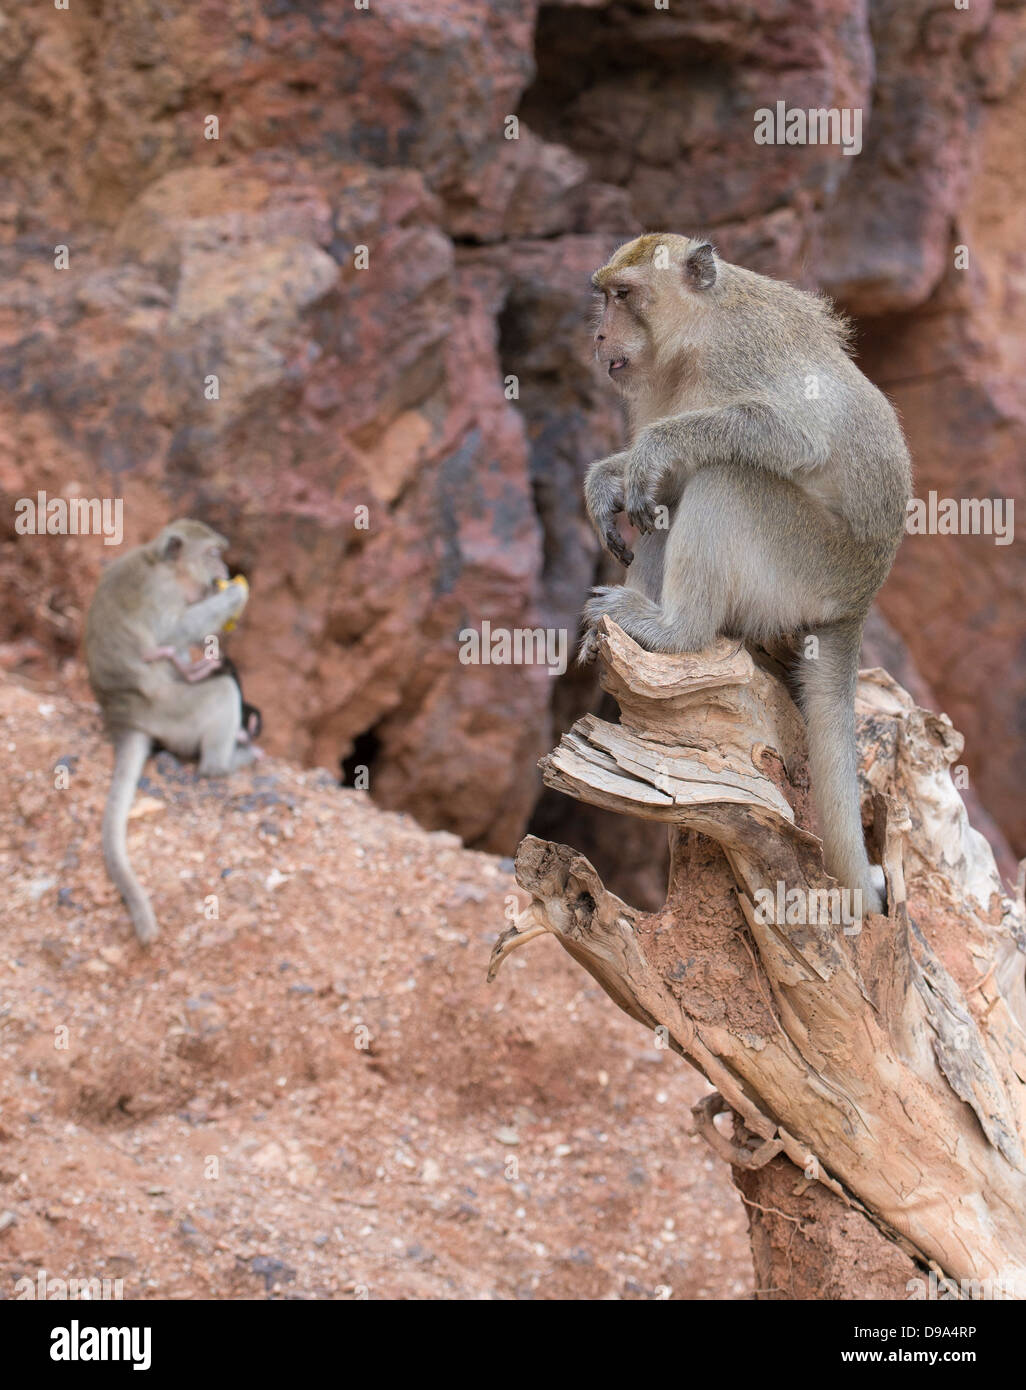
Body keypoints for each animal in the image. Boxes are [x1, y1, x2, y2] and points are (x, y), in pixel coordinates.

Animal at [84, 519, 255, 944]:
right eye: (214, 553)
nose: (225, 571)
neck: (160, 563)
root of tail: (124, 719)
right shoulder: (164, 594)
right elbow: (177, 631)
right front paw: (236, 594)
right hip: (173, 713)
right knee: (220, 693)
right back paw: (224, 763)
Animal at [580, 234, 911, 915]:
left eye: (624, 294)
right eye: (604, 295)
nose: (599, 335)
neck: (696, 336)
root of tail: (858, 602)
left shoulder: (742, 353)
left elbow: (794, 437)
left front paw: (650, 449)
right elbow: (652, 487)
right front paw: (607, 481)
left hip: (808, 567)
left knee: (724, 478)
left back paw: (677, 631)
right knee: (670, 497)